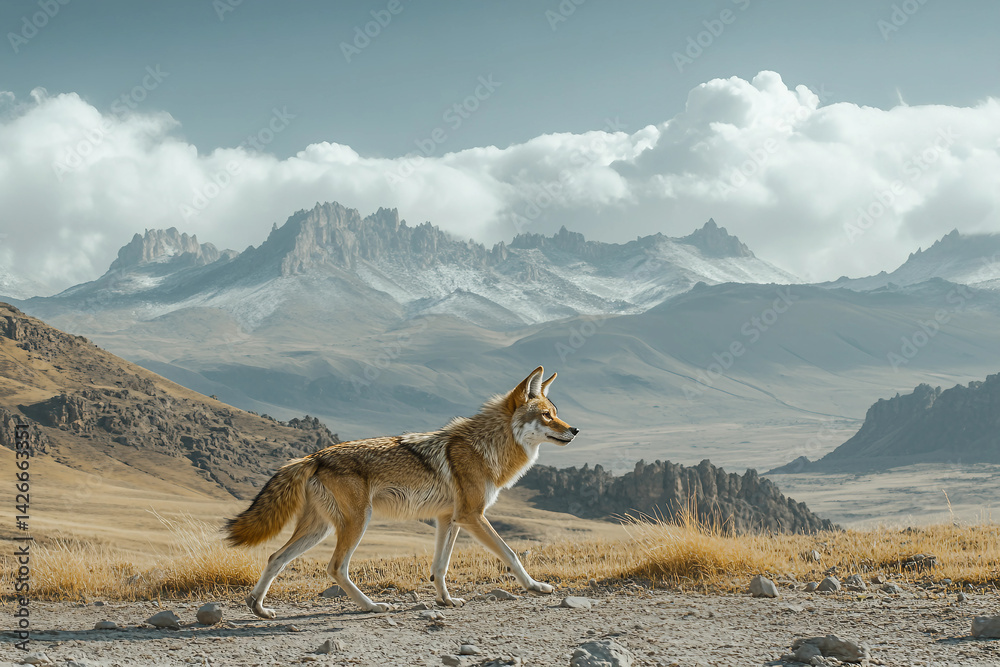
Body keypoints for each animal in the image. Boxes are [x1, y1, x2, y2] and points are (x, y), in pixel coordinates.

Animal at [225, 366, 579, 617]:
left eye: (556, 413)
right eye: (547, 415)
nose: (575, 430)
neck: (485, 447)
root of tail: (313, 456)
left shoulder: (449, 519)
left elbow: (439, 567)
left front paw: (446, 600)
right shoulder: (472, 516)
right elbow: (511, 555)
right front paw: (536, 586)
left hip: (319, 528)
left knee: (275, 557)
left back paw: (258, 608)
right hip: (357, 522)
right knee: (335, 567)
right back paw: (371, 606)